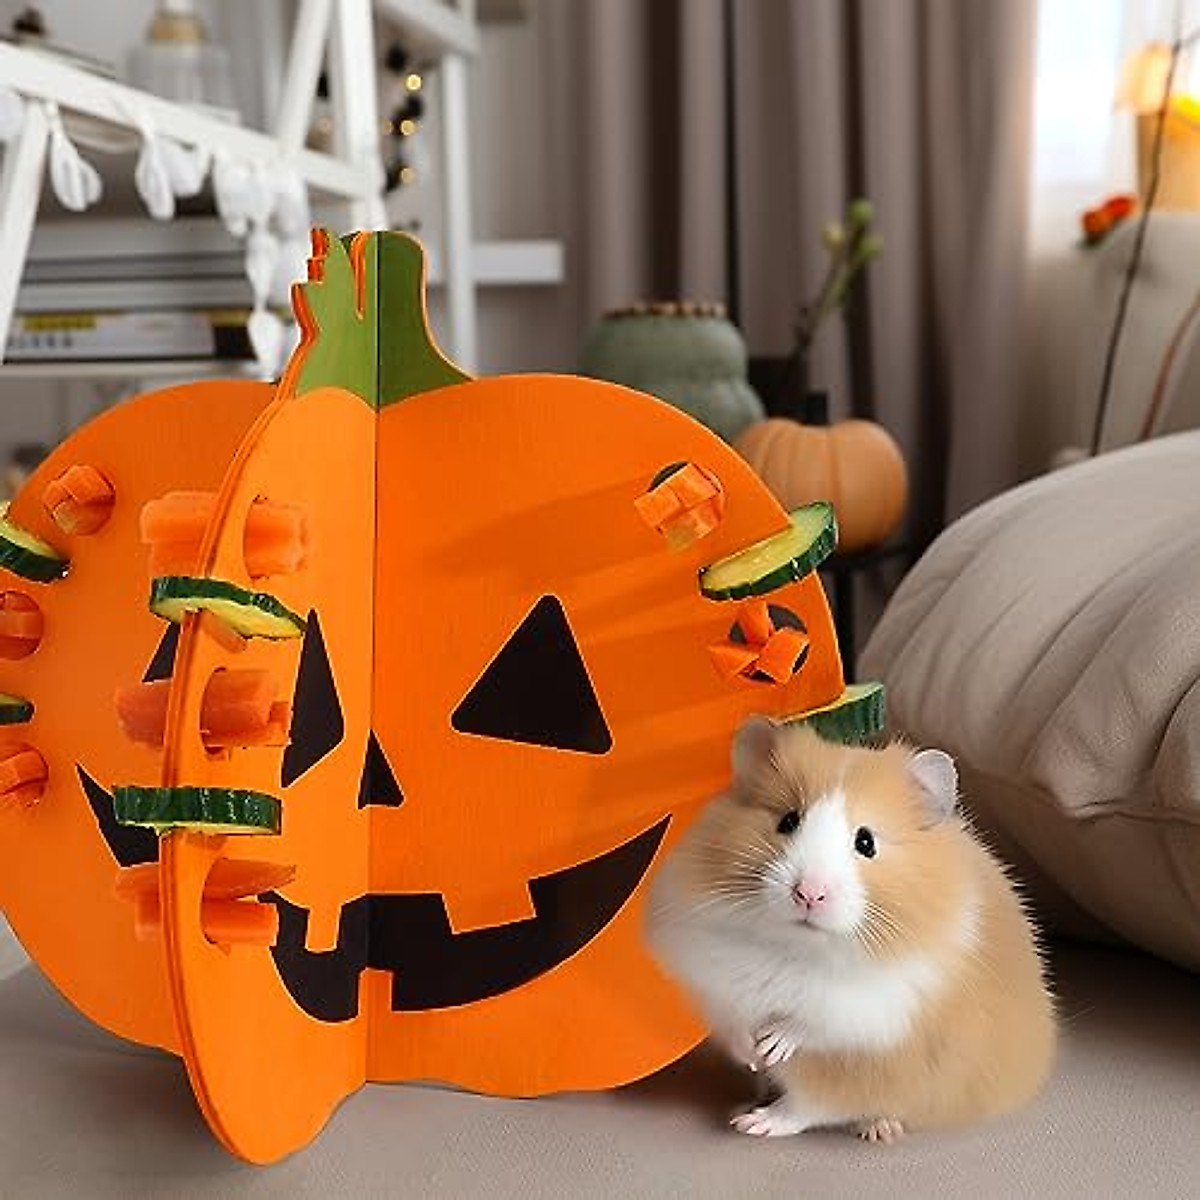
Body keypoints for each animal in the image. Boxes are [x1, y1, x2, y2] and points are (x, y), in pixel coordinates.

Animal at [646, 718, 1055, 1142]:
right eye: (788, 821)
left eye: (866, 841)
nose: (808, 893)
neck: (799, 945)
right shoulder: (712, 980)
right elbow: (732, 1022)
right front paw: (752, 1055)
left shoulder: (873, 1004)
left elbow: (814, 1020)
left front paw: (771, 1045)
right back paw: (750, 1104)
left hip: (861, 1079)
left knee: (809, 1109)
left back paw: (772, 1124)